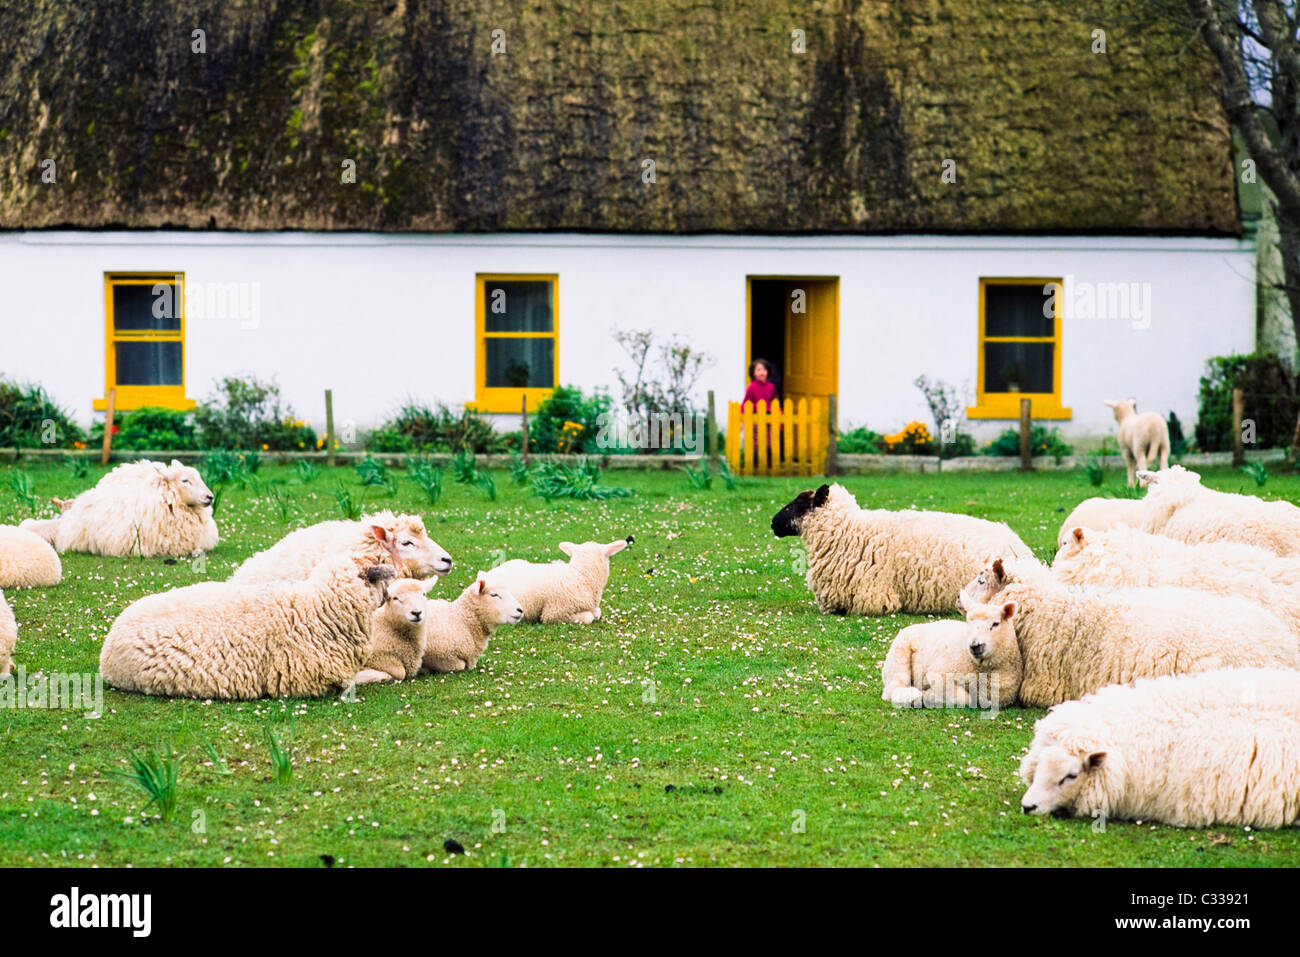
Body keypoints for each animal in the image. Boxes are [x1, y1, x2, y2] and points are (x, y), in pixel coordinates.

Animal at [99, 553, 396, 700]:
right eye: (378, 577)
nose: (388, 595)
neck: (316, 608)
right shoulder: (315, 681)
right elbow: (358, 679)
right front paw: (381, 675)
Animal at [880, 601, 1022, 709]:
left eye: (995, 623)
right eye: (968, 623)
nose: (975, 646)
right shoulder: (938, 673)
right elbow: (964, 698)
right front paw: (927, 695)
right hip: (898, 658)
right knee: (892, 690)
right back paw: (912, 696)